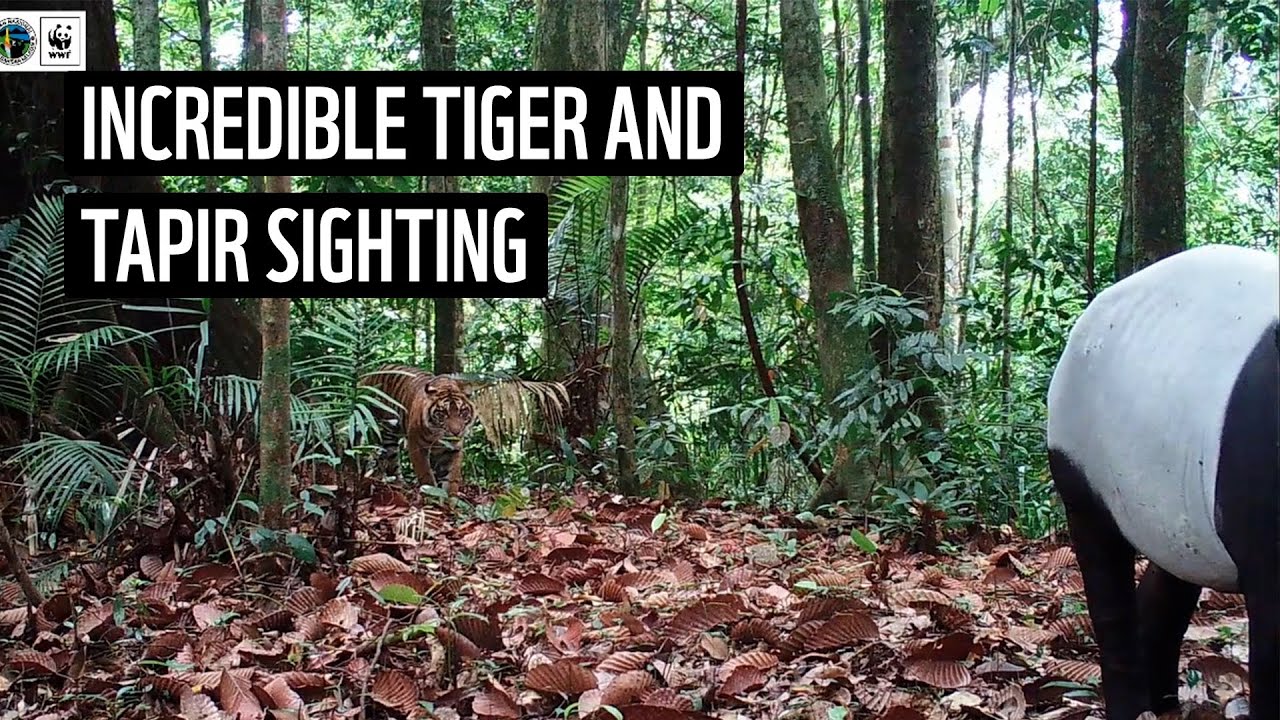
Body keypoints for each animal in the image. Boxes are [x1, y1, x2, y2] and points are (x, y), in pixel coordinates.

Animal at [360, 364, 475, 495]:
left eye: (463, 412)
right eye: (442, 413)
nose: (456, 432)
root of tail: (375, 371)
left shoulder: (453, 450)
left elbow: (451, 479)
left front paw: (449, 499)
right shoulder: (417, 446)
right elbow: (426, 475)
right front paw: (432, 496)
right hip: (386, 427)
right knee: (390, 457)